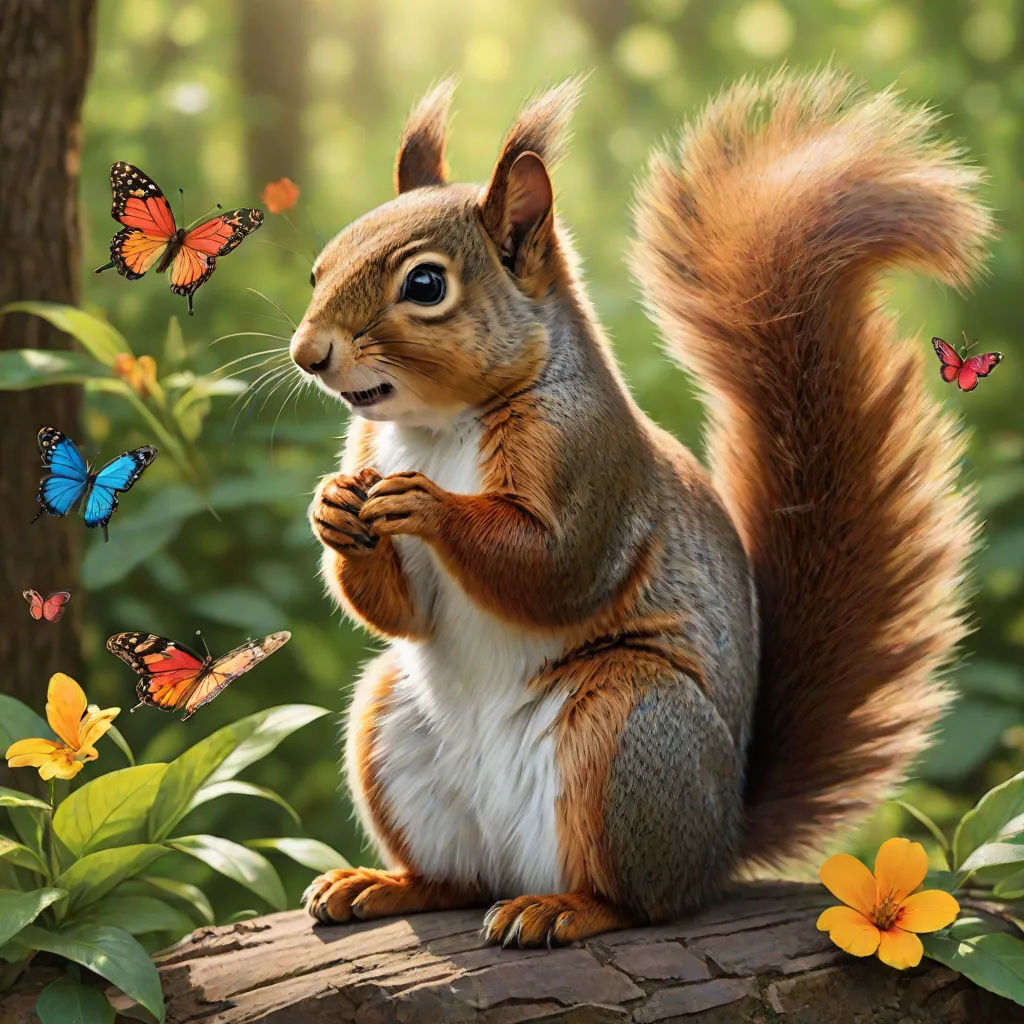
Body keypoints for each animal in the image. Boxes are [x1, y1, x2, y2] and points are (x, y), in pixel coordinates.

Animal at [291, 70, 991, 947]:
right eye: (318, 267)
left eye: (424, 285)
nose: (307, 354)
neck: (437, 426)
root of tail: (721, 841)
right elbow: (405, 611)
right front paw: (331, 510)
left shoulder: (589, 461)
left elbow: (555, 569)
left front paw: (429, 505)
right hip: (393, 728)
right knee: (457, 880)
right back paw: (383, 884)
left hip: (629, 722)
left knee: (637, 900)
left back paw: (561, 908)